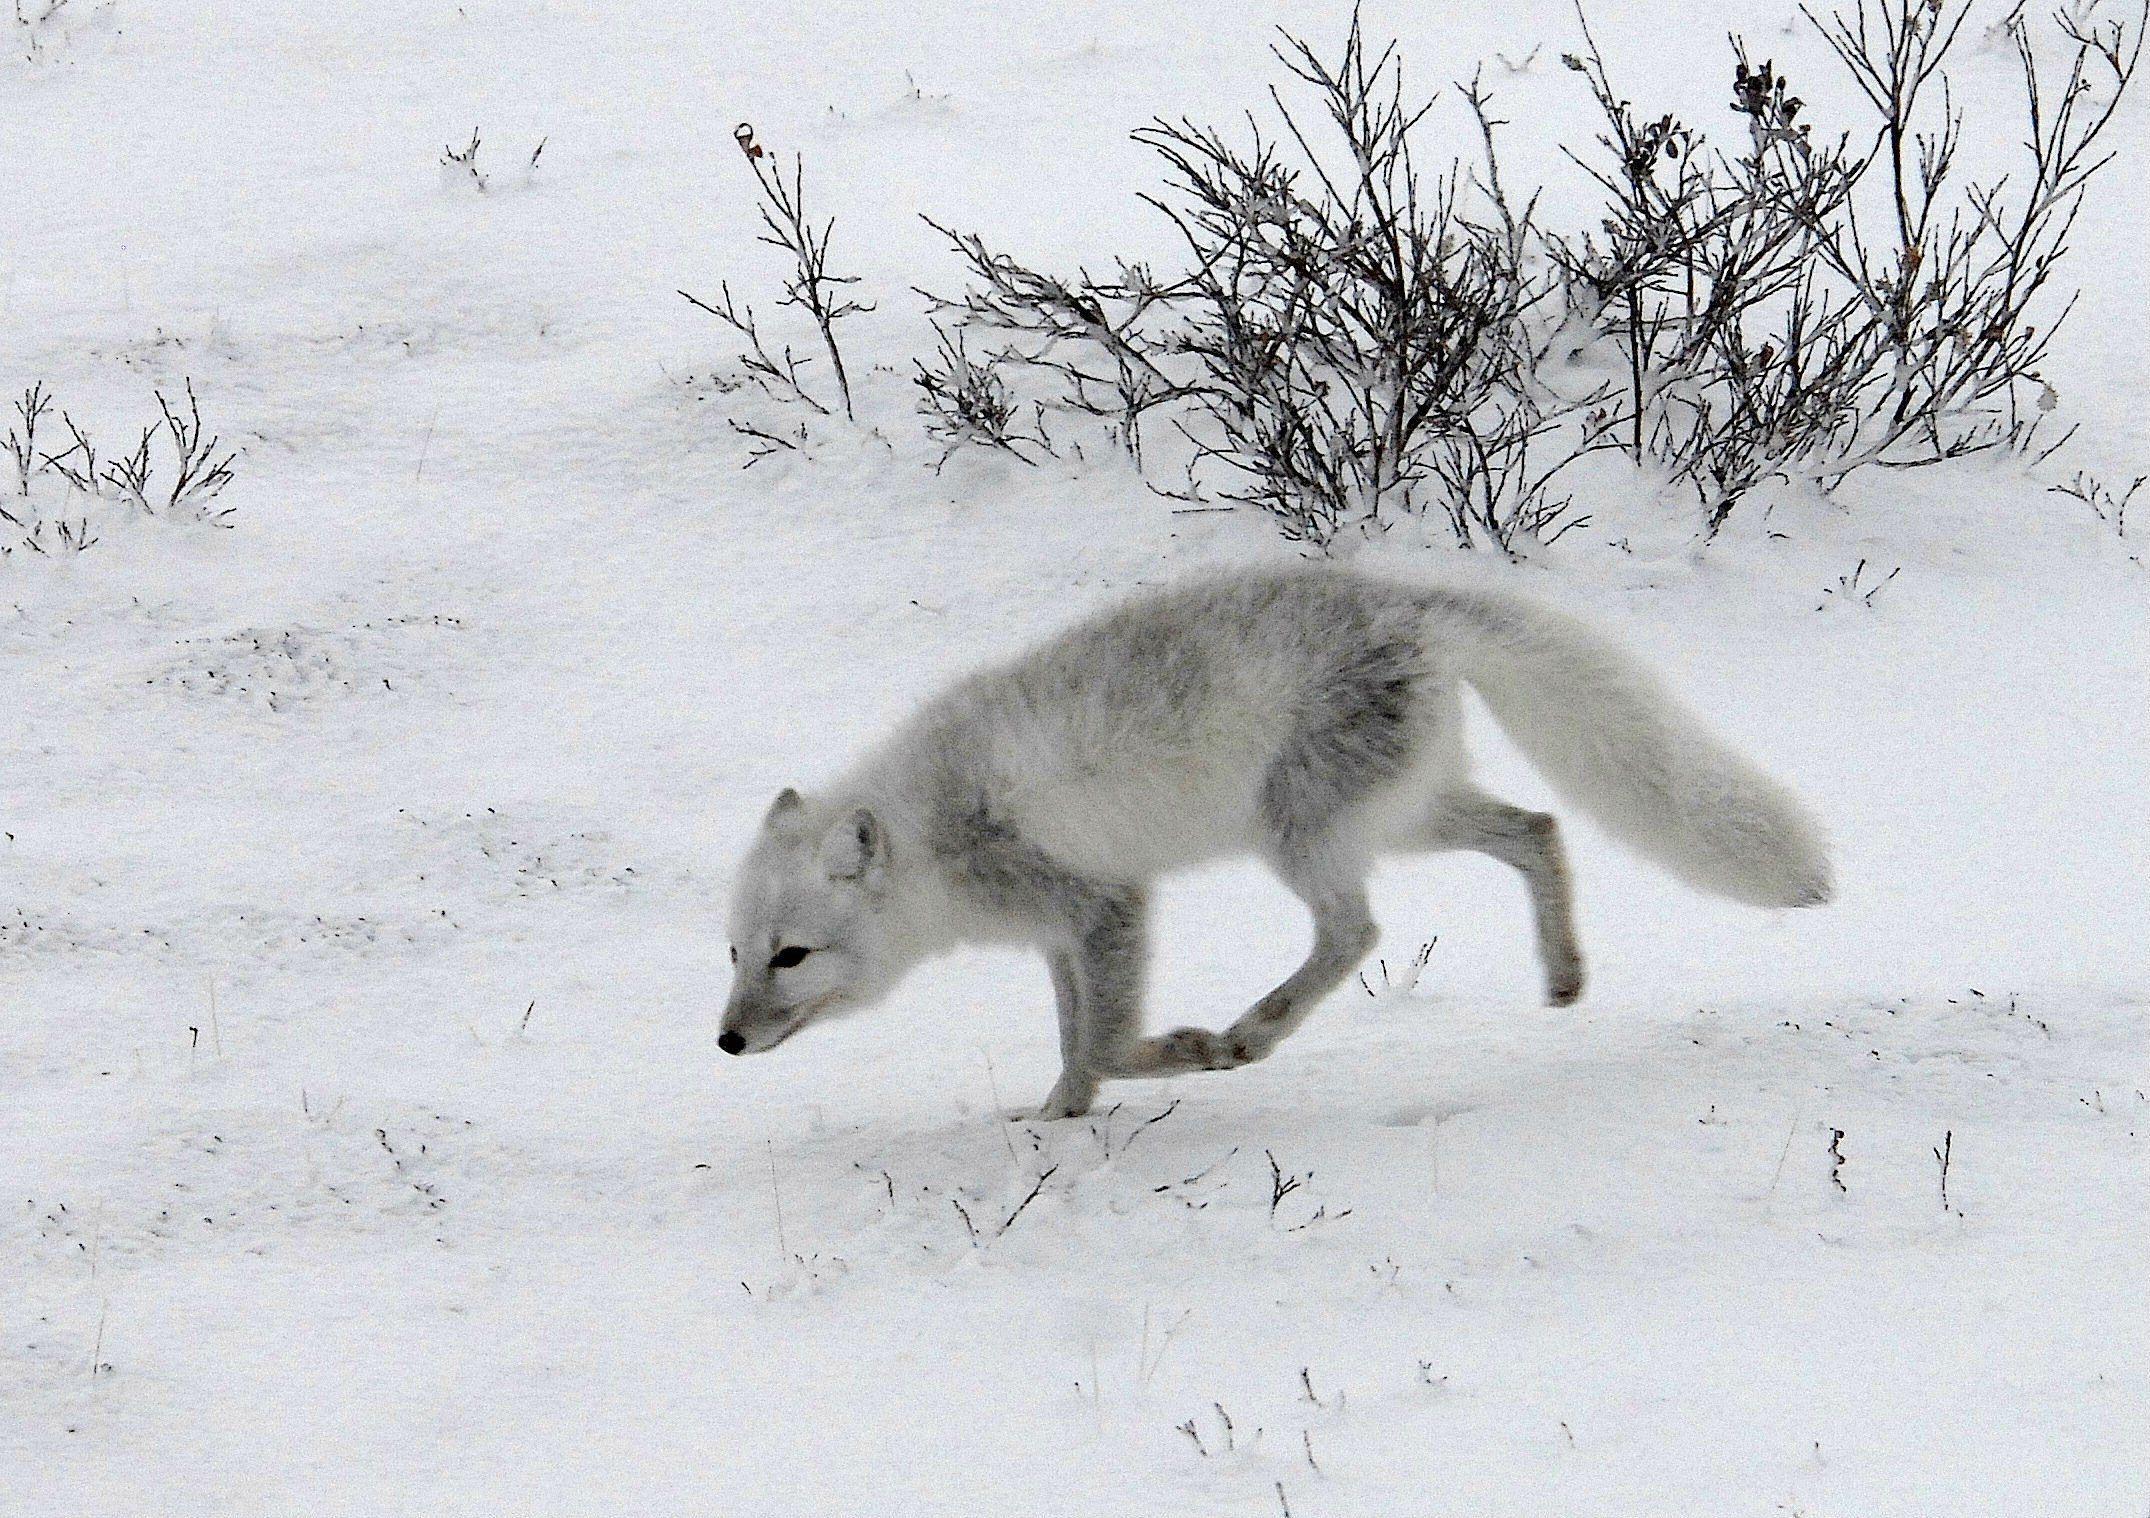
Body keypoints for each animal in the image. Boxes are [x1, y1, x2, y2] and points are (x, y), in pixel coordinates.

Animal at [719, 564, 1831, 1119]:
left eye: (792, 955)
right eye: (734, 953)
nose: (724, 1042)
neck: (931, 836)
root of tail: (1405, 598)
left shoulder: (1103, 905)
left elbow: (1110, 1041)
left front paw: (1185, 1054)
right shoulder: (1062, 937)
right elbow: (1076, 1044)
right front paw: (1054, 1122)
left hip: (1300, 836)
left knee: (1356, 932)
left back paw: (1252, 1032)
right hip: (1407, 814)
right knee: (1536, 827)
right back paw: (1561, 976)